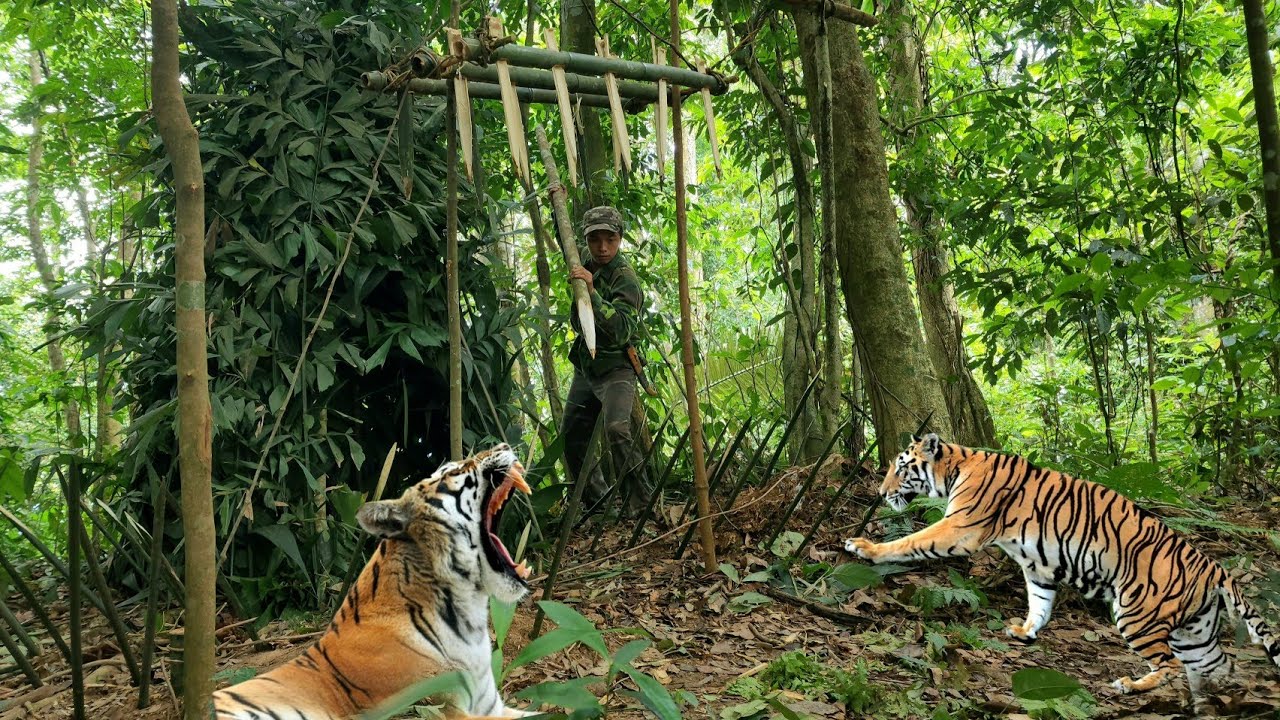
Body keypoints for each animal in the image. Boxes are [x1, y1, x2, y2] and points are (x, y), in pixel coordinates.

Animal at [843, 433, 1280, 696]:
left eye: (901, 468)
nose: (880, 491)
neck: (955, 467)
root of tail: (1213, 565)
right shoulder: (1038, 565)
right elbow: (1040, 602)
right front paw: (1025, 631)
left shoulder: (959, 528)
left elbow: (912, 541)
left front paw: (865, 547)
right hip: (1196, 633)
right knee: (1220, 666)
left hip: (1137, 615)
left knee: (1169, 665)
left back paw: (1132, 685)